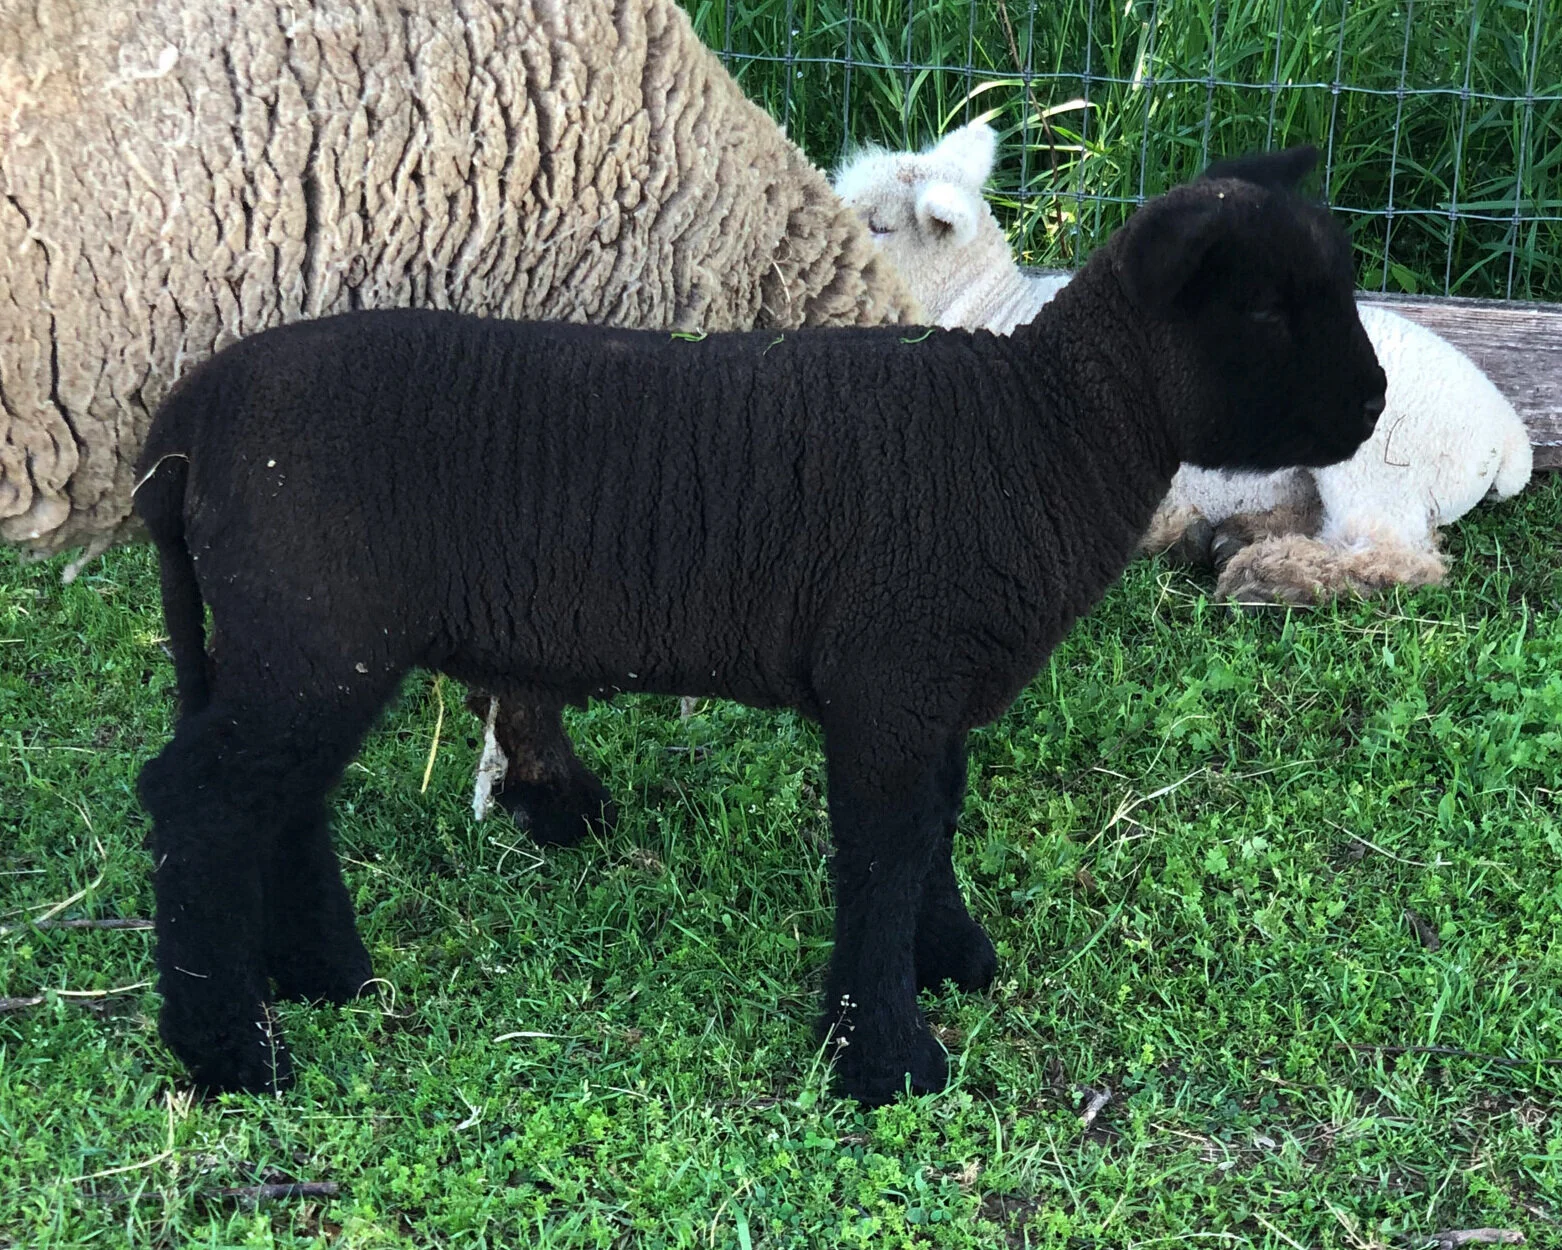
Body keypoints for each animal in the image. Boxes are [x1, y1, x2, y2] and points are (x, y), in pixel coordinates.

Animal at [132, 147, 1387, 1101]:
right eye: (1264, 305)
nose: (1373, 403)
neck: (1043, 429)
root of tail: (190, 419)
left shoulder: (929, 688)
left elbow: (933, 823)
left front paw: (947, 957)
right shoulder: (887, 678)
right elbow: (882, 851)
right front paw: (884, 1059)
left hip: (302, 638)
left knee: (274, 800)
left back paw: (321, 974)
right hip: (313, 627)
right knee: (201, 803)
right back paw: (232, 1053)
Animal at [834, 123, 1534, 604]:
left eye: (878, 226)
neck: (995, 312)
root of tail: (1509, 436)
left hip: (1381, 458)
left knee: (1398, 557)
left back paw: (1268, 575)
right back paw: (1227, 536)